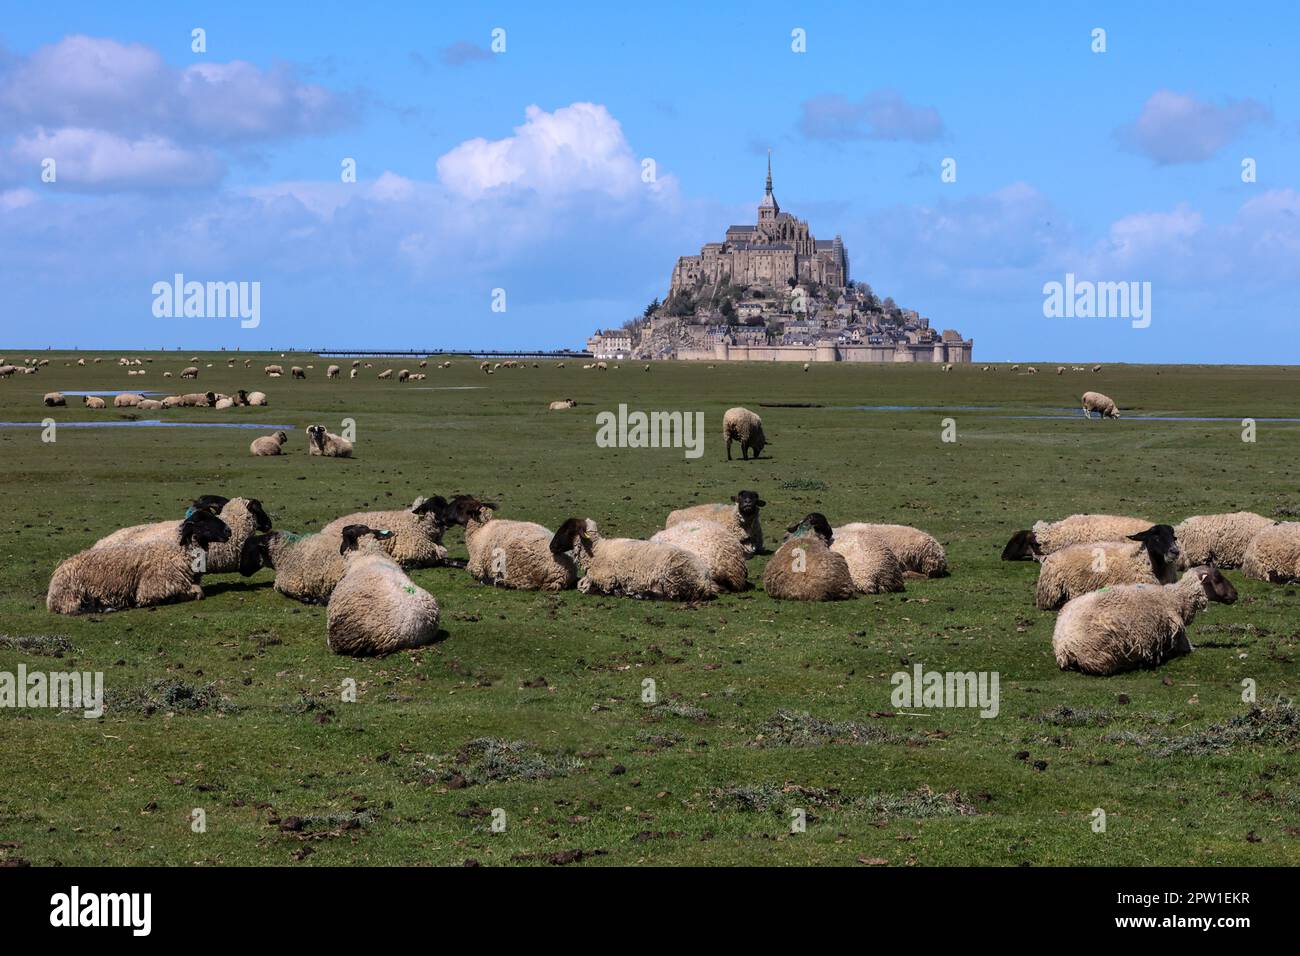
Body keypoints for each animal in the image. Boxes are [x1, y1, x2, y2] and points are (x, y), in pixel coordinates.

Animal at [47, 510, 232, 614]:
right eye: (202, 521)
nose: (228, 531)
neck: (178, 552)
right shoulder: (153, 588)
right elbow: (198, 592)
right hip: (72, 596)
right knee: (76, 608)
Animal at [443, 496, 575, 590]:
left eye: (460, 506)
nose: (444, 517)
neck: (478, 531)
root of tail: (562, 574)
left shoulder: (476, 566)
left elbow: (466, 567)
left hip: (518, 571)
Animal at [550, 517, 717, 601]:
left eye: (567, 530)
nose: (551, 547)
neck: (596, 551)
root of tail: (706, 581)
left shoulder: (607, 579)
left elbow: (594, 589)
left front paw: (618, 591)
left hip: (674, 579)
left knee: (671, 597)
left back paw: (640, 594)